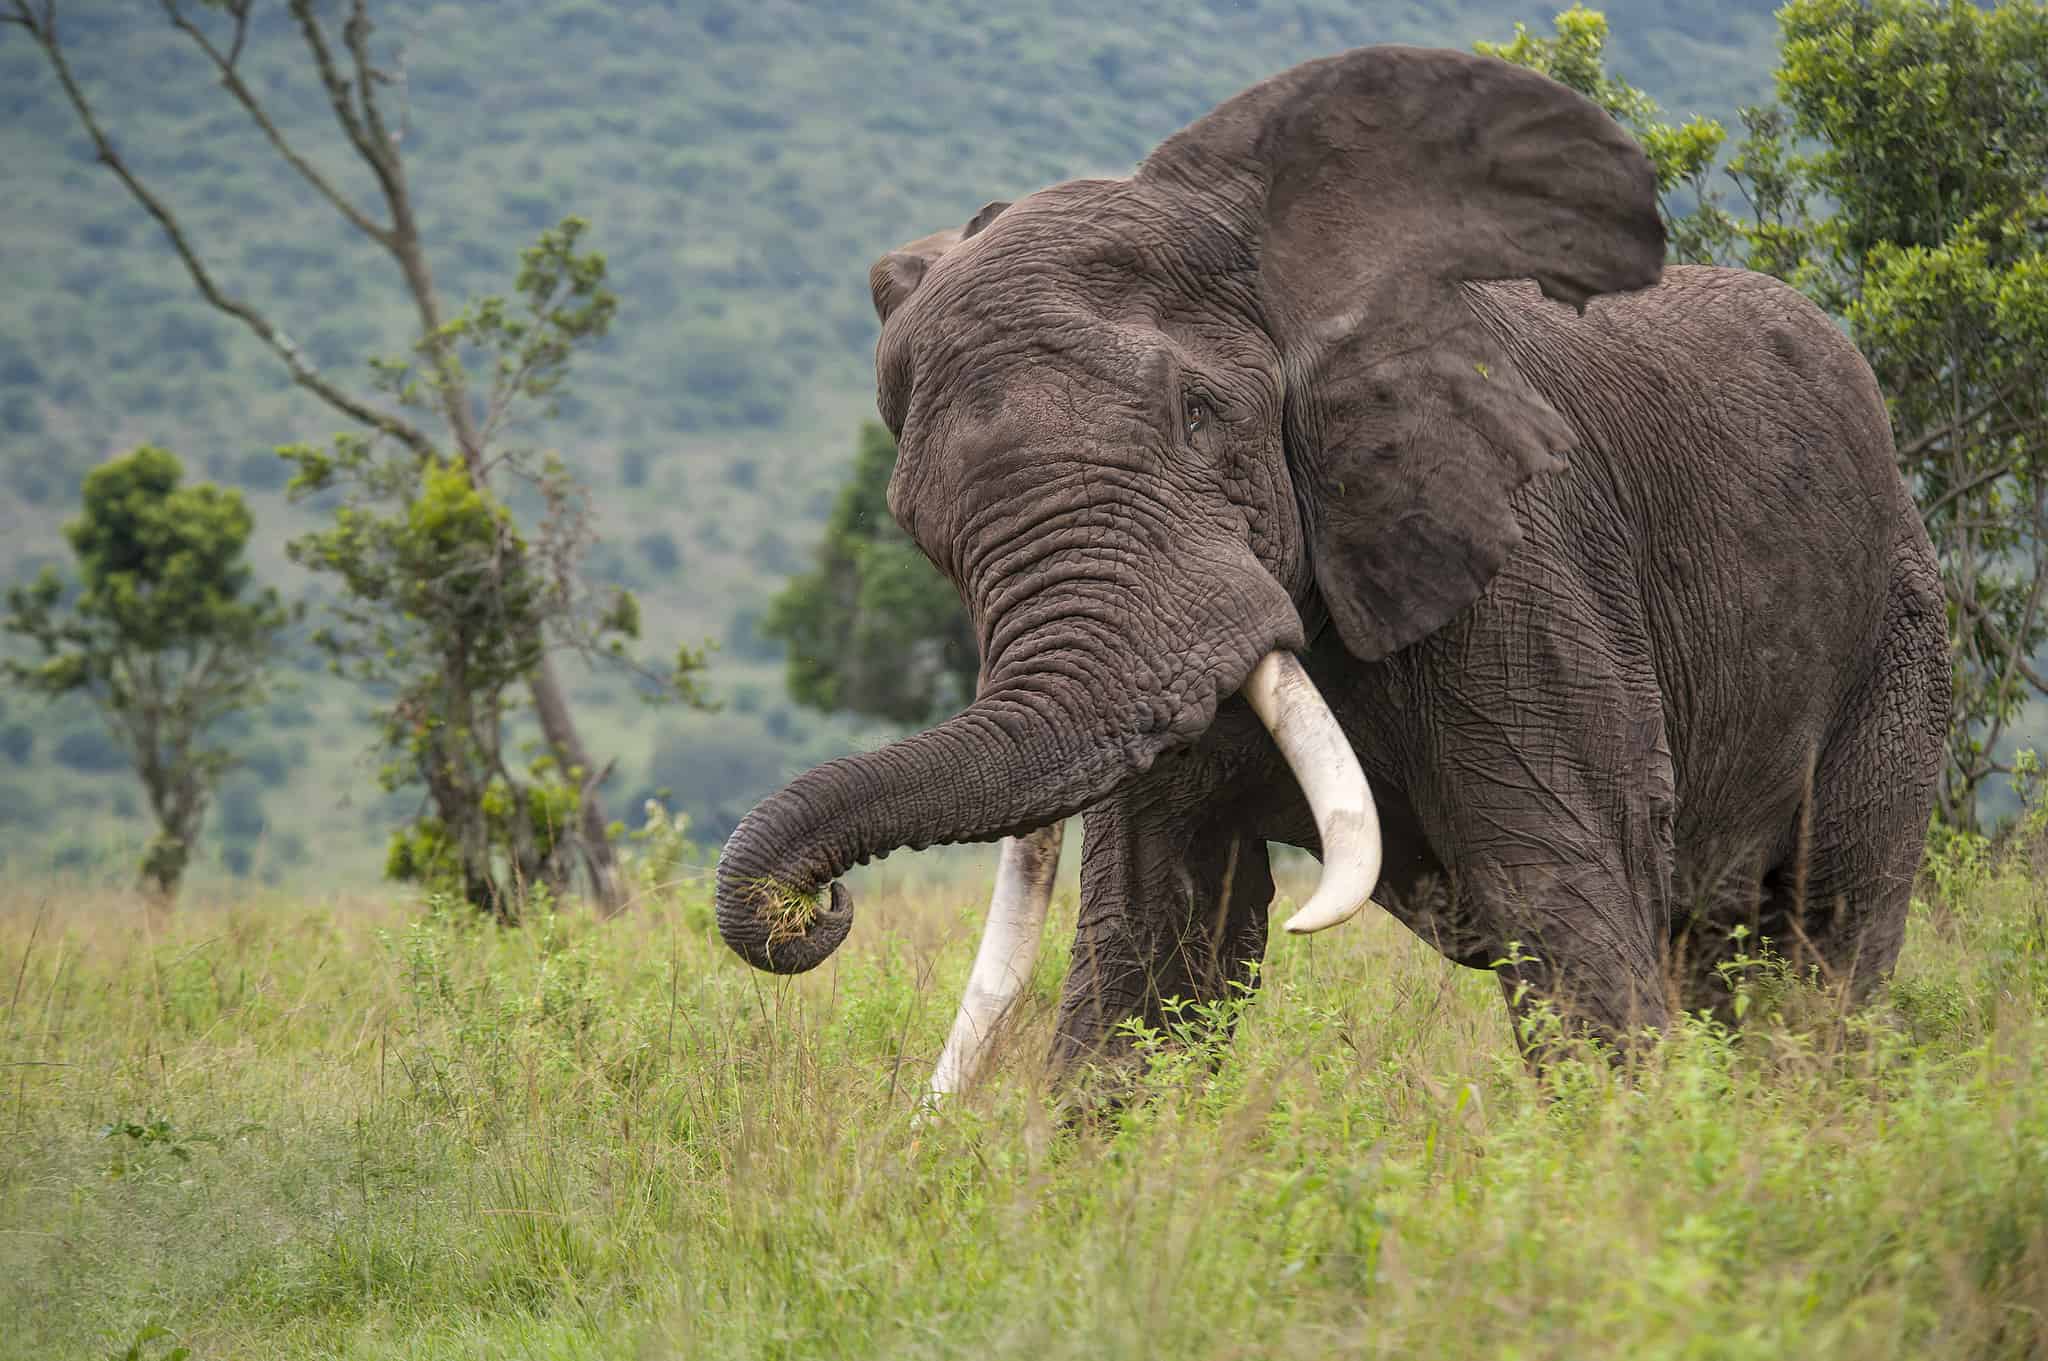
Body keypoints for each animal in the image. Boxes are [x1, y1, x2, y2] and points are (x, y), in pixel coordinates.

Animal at [717, 44, 1950, 1092]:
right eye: (920, 526)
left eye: (1200, 416)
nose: (808, 907)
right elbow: (1152, 945)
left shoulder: (1524, 564)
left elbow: (1562, 895)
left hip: (1898, 627)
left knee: (1825, 933)